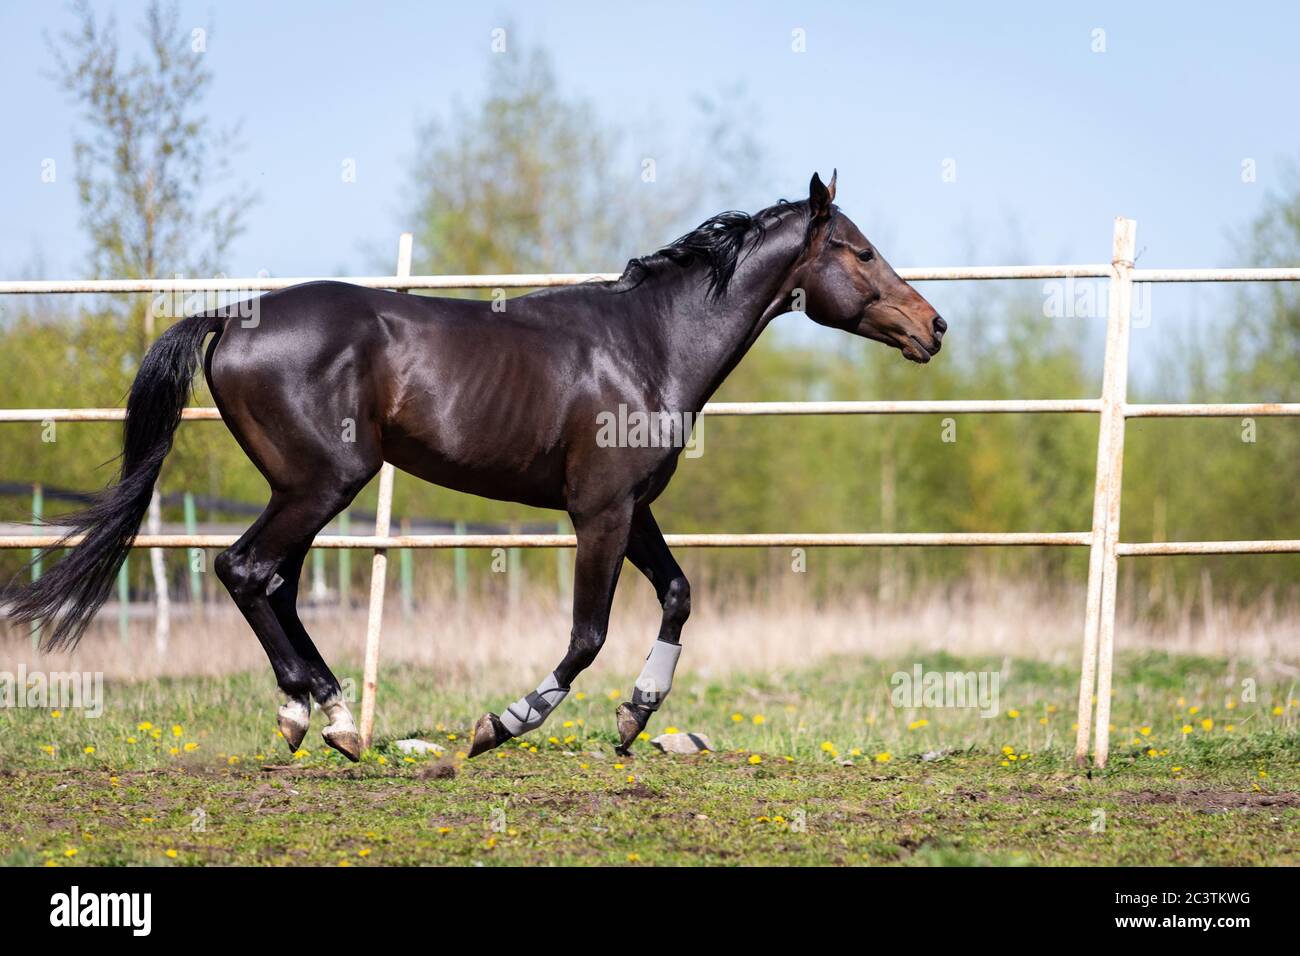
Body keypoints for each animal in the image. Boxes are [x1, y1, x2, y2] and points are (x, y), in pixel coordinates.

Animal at [8, 171, 945, 760]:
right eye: (861, 251)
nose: (932, 327)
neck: (647, 344)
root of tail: (229, 319)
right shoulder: (599, 512)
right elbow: (585, 636)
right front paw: (502, 723)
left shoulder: (632, 506)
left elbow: (679, 594)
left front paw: (635, 719)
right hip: (322, 483)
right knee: (243, 569)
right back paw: (325, 717)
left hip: (305, 489)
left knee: (273, 581)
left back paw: (326, 716)